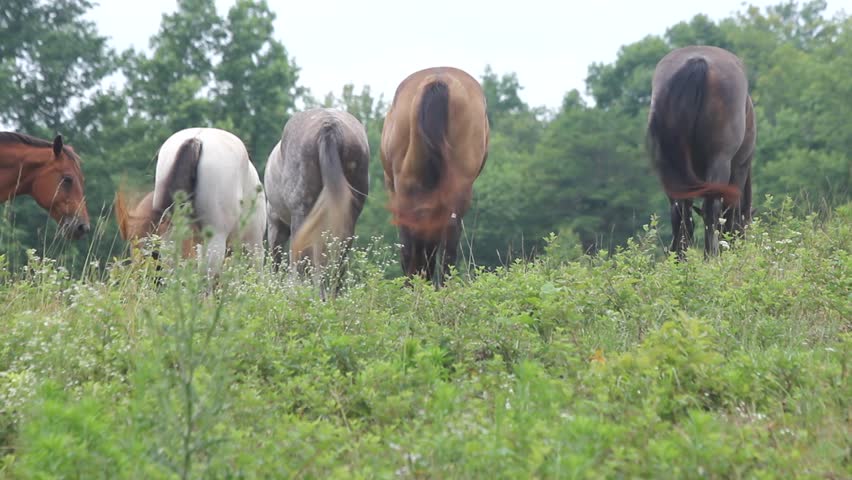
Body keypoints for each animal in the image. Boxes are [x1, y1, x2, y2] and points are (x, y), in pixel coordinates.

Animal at [264, 109, 370, 294]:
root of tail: (329, 126)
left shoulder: (275, 223)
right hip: (346, 216)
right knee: (335, 262)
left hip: (301, 213)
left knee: (304, 263)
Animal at [647, 46, 756, 259]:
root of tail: (697, 62)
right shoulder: (740, 168)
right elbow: (729, 212)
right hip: (719, 162)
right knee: (711, 210)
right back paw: (710, 257)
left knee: (680, 213)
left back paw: (679, 258)